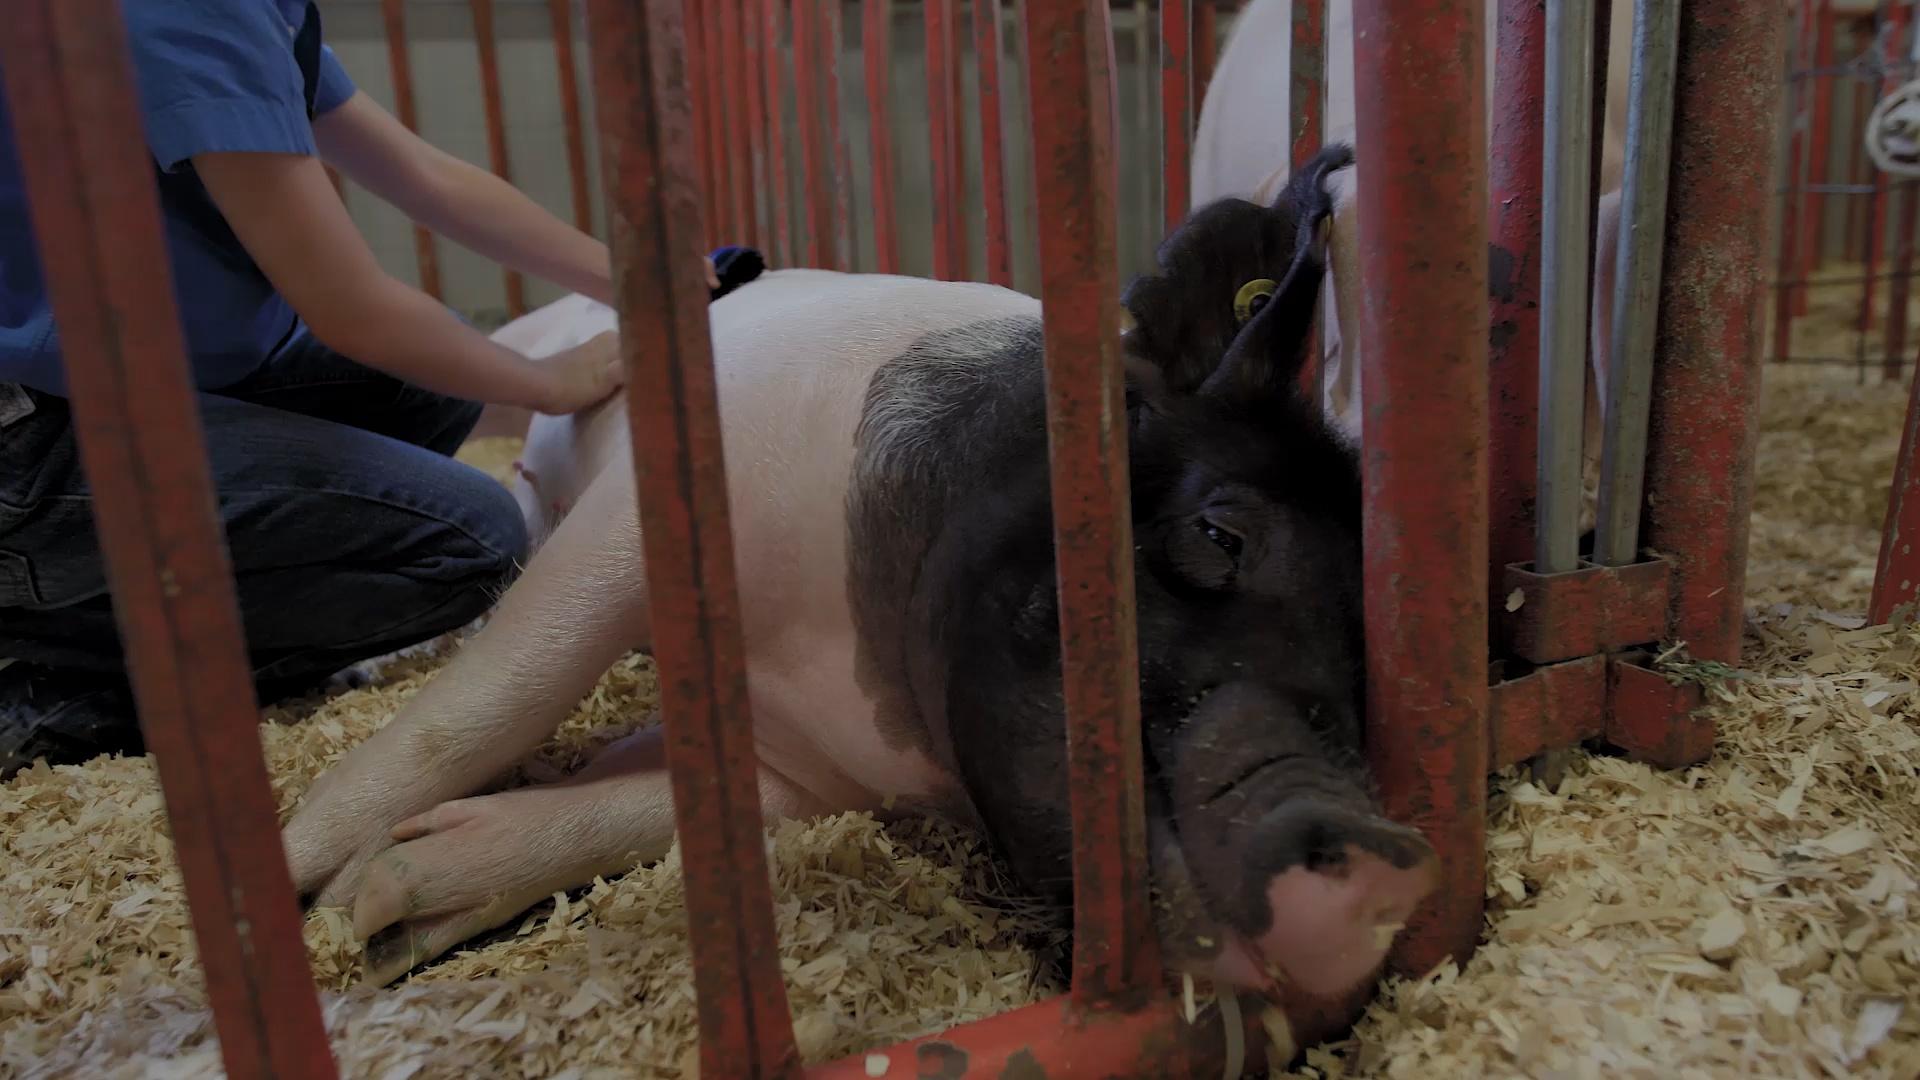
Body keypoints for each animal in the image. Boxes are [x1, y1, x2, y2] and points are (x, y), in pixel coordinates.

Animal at [280, 143, 1437, 1054]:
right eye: (1220, 533)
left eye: (1368, 662)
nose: (1388, 857)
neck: (825, 653)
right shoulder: (639, 521)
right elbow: (499, 695)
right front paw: (312, 891)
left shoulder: (808, 770)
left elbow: (639, 807)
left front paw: (380, 905)